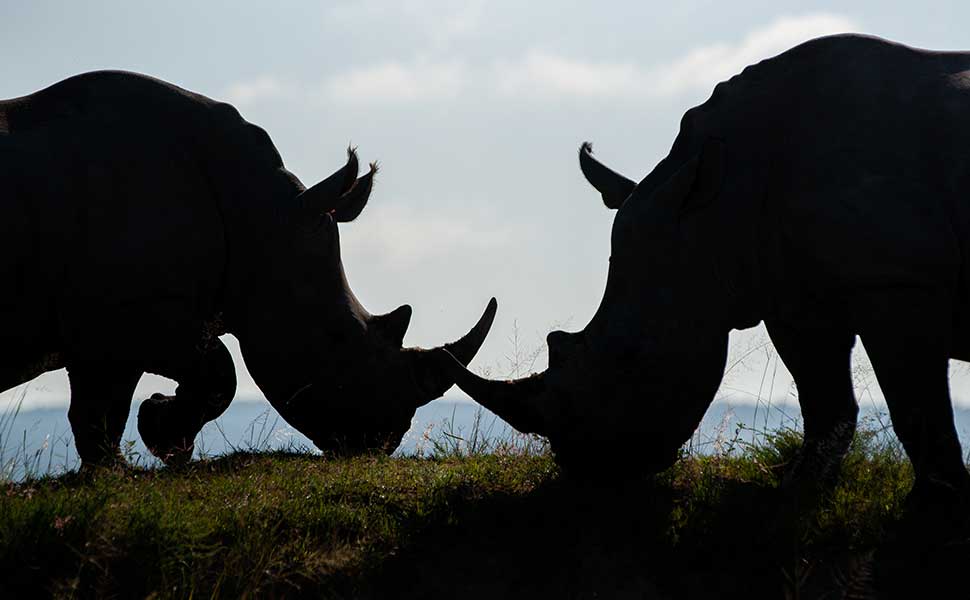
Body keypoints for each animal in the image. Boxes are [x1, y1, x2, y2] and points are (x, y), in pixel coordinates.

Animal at [0, 70, 496, 466]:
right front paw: (160, 440)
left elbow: (102, 408)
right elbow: (219, 372)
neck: (261, 220)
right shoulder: (126, 316)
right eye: (335, 338)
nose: (383, 440)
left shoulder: (108, 328)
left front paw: (123, 463)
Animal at [441, 34, 970, 501]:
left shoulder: (894, 280)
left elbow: (915, 404)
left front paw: (932, 501)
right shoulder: (791, 292)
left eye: (630, 357)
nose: (587, 470)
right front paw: (795, 493)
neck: (711, 212)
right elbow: (822, 396)